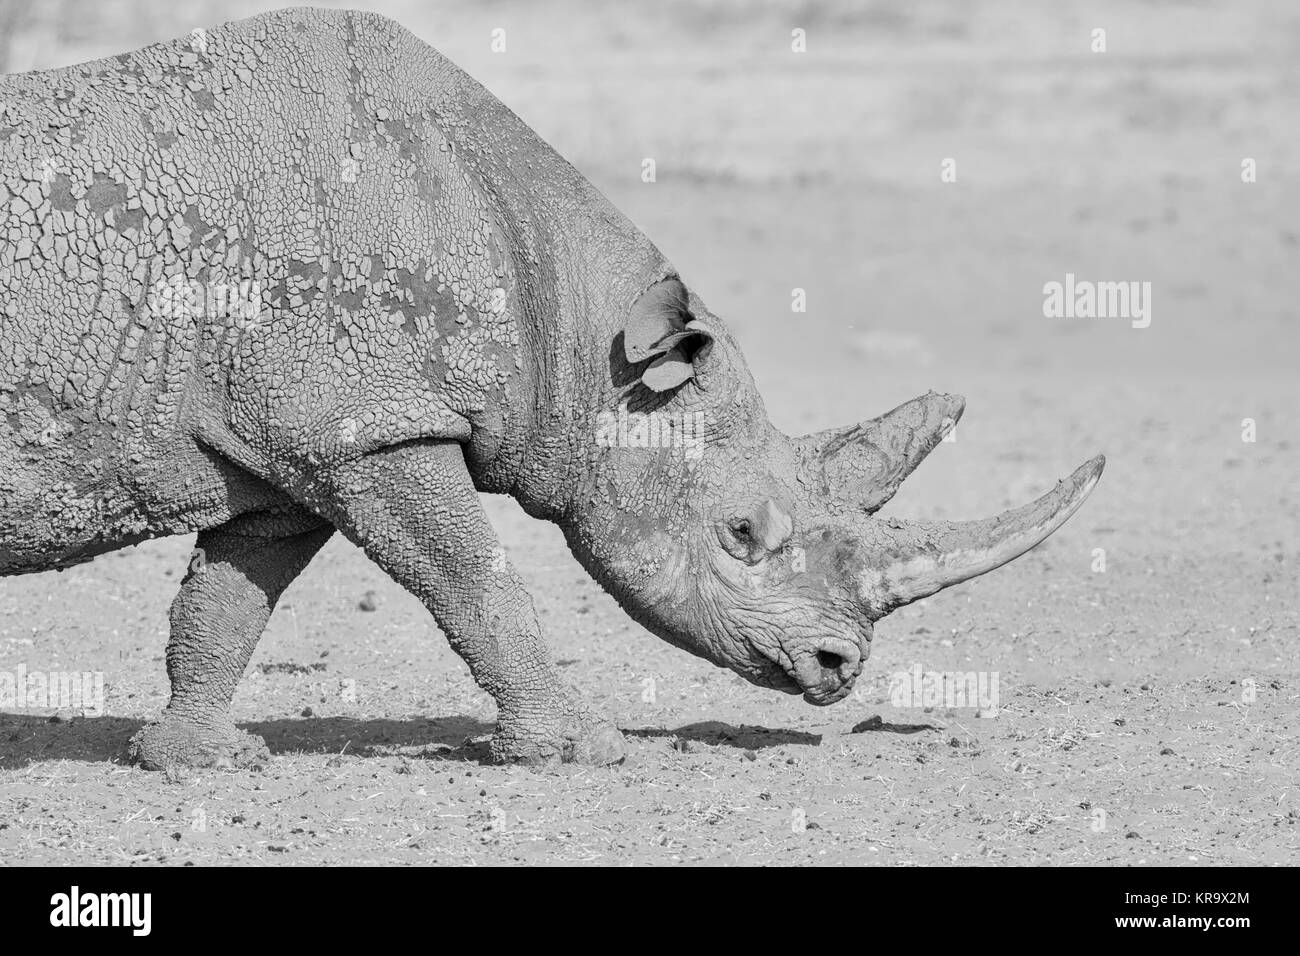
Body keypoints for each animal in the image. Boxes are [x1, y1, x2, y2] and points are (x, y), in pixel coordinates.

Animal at [0, 7, 1103, 768]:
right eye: (743, 533)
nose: (839, 670)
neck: (571, 326)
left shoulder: (309, 438)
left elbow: (230, 596)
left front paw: (199, 762)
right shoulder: (375, 430)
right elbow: (477, 580)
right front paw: (581, 750)